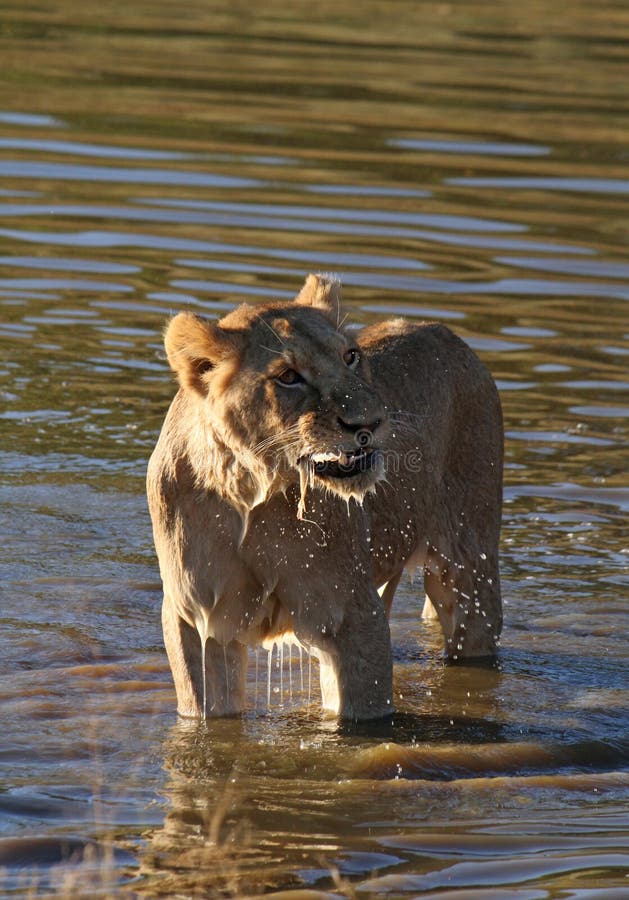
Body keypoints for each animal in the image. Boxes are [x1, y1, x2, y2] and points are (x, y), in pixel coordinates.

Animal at [147, 274, 503, 721]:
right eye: (287, 376)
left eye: (351, 356)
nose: (370, 421)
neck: (251, 487)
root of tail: (440, 329)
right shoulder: (196, 618)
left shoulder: (352, 615)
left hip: (469, 562)